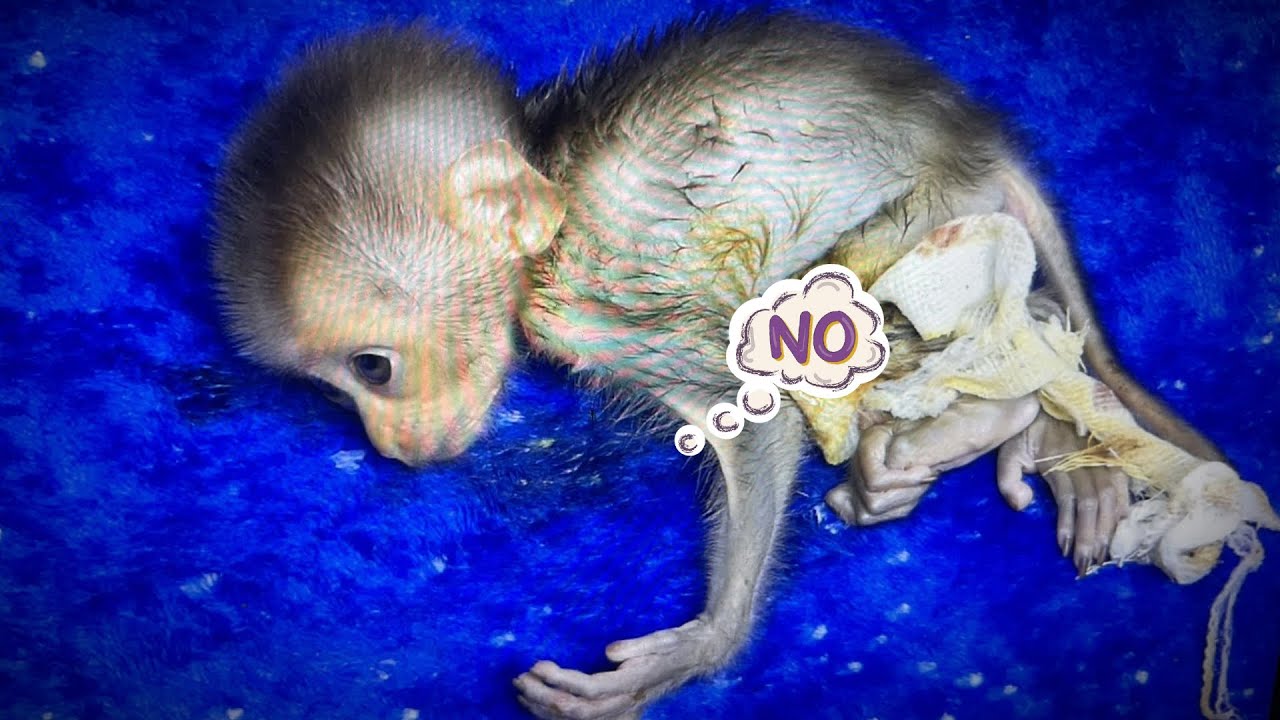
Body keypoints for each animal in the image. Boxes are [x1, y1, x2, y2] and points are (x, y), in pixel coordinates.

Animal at [209, 14, 1227, 719]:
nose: (392, 449)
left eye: (373, 368)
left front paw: (694, 652)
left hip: (925, 215)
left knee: (992, 316)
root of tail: (973, 133)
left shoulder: (583, 309)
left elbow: (760, 414)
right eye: (331, 391)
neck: (546, 169)